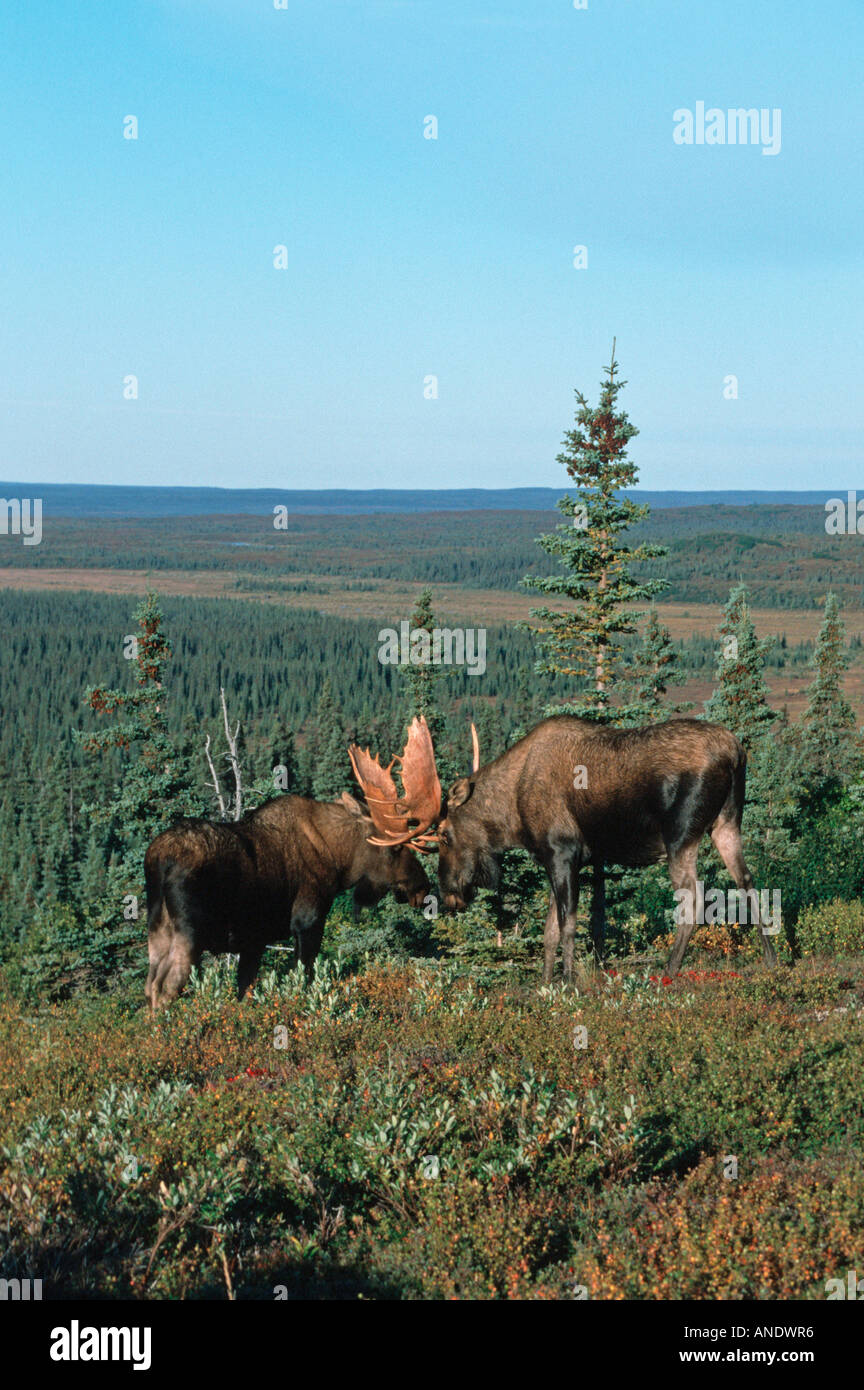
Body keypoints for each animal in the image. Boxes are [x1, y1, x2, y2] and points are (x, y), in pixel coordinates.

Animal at [144, 793, 429, 1011]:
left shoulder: (254, 942)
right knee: (168, 986)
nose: (422, 887)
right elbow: (304, 977)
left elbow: (245, 990)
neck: (338, 861)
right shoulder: (307, 921)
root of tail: (159, 860)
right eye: (396, 847)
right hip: (190, 934)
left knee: (151, 985)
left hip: (158, 930)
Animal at [348, 715, 778, 984]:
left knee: (692, 900)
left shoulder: (564, 852)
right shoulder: (557, 860)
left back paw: (669, 971)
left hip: (681, 835)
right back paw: (772, 958)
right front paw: (545, 983)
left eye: (445, 836)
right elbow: (549, 930)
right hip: (727, 823)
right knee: (748, 881)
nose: (450, 896)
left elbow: (569, 924)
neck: (513, 812)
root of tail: (736, 752)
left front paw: (570, 981)